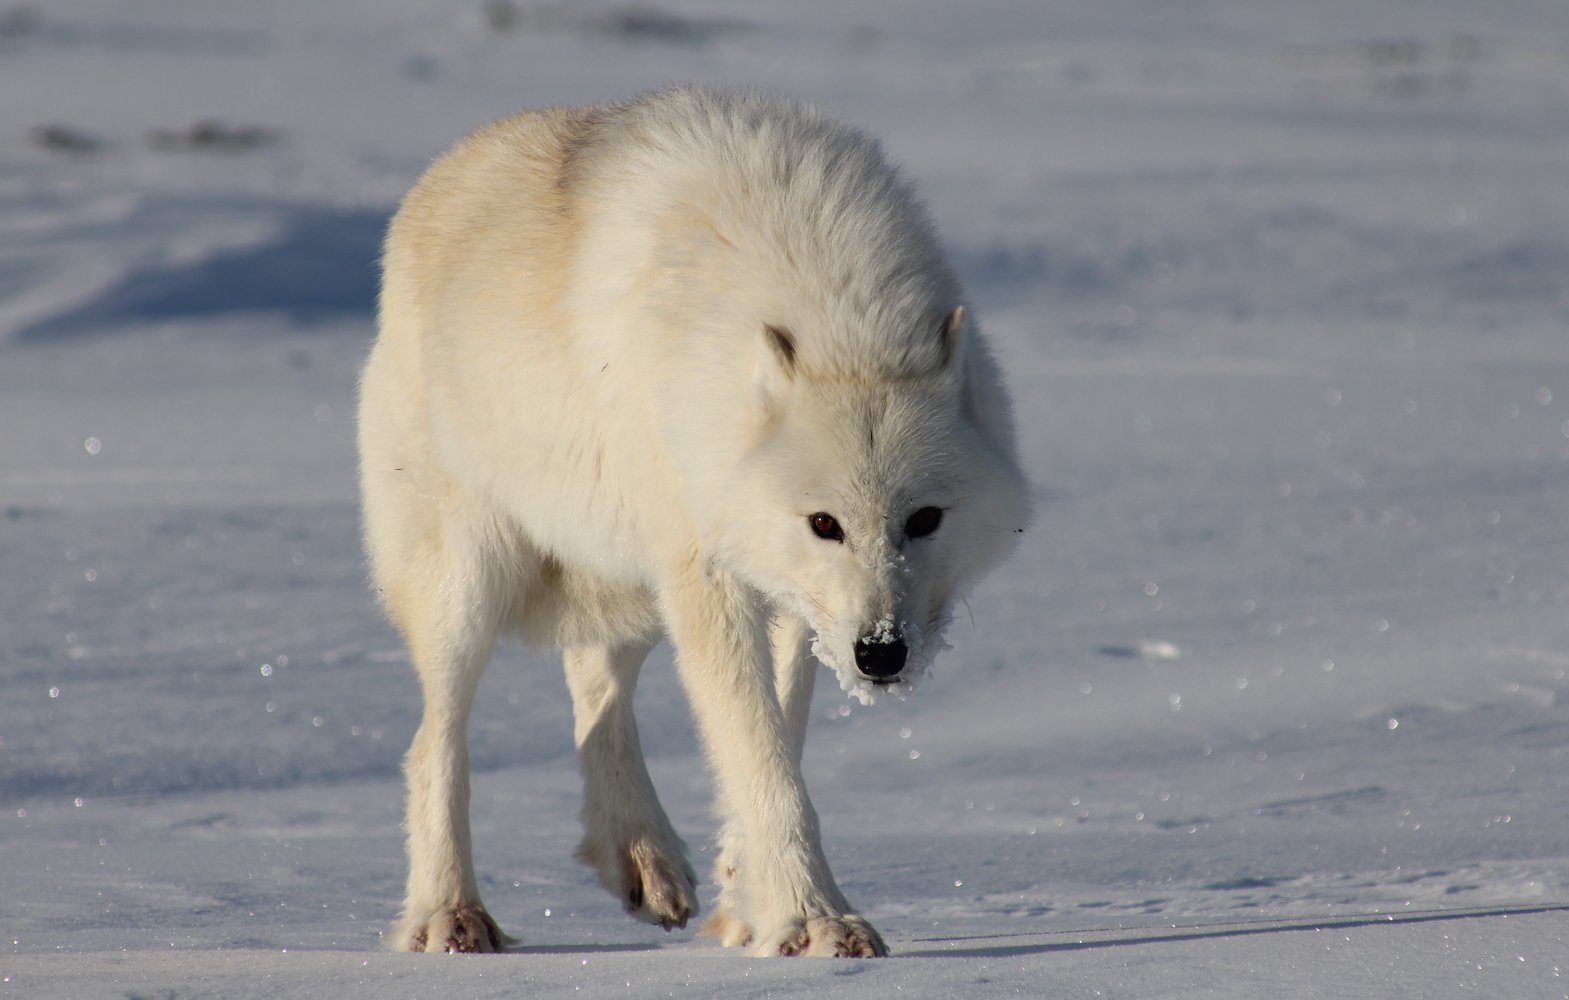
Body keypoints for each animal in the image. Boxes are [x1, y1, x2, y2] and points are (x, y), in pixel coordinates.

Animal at [357, 86, 1028, 958]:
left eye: (924, 519)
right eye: (824, 523)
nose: (880, 654)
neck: (833, 309)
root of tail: (436, 178)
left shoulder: (785, 598)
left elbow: (778, 746)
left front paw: (751, 908)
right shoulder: (712, 579)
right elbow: (762, 761)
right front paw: (816, 917)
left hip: (631, 590)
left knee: (594, 688)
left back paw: (641, 857)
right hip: (468, 589)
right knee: (432, 742)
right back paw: (448, 913)